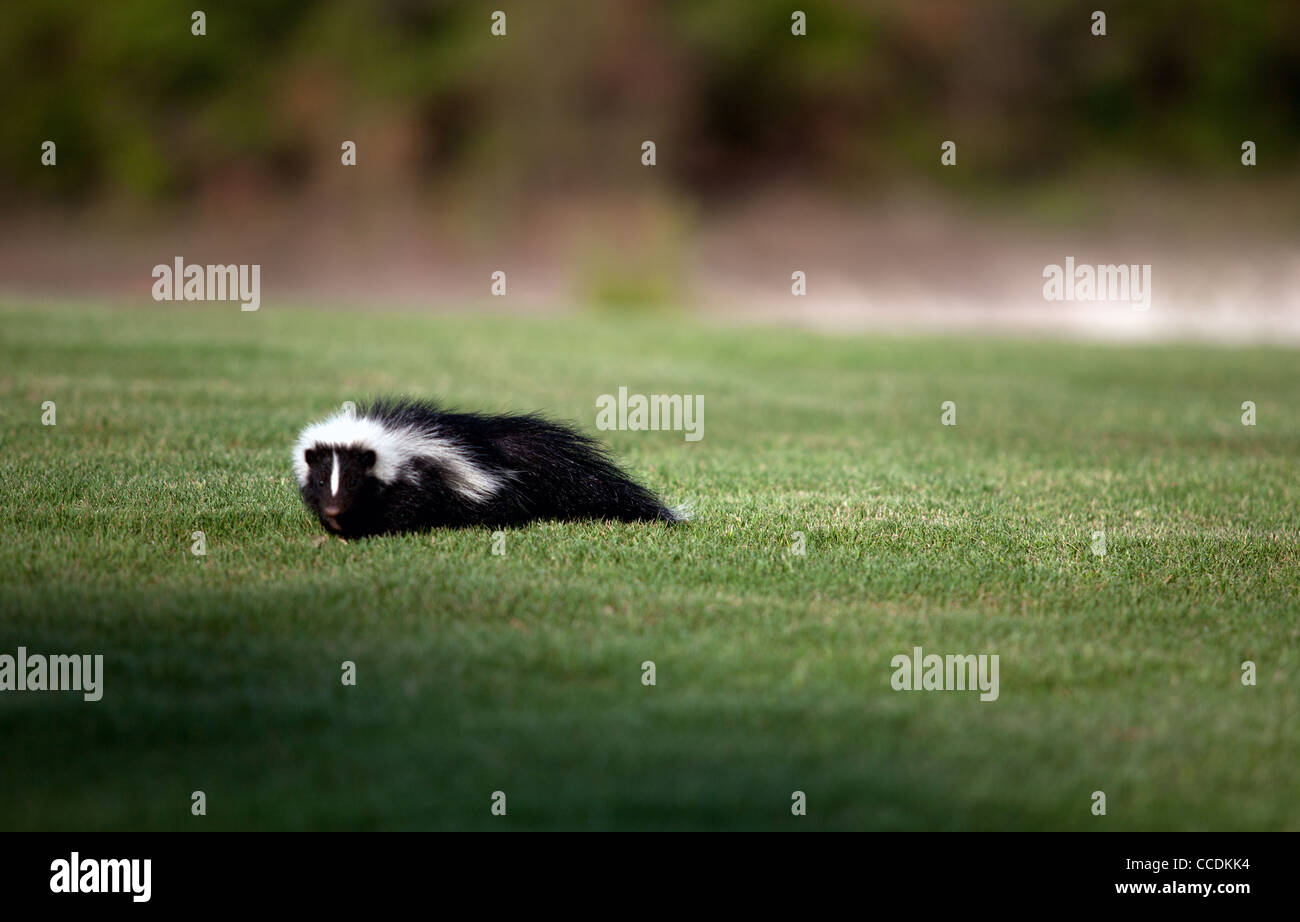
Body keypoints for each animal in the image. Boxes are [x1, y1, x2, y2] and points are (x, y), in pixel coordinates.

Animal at [289, 397, 686, 538]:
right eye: (322, 480)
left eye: (355, 482)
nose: (335, 509)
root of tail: (493, 442)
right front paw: (338, 527)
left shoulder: (414, 475)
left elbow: (400, 508)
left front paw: (367, 530)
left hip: (480, 488)